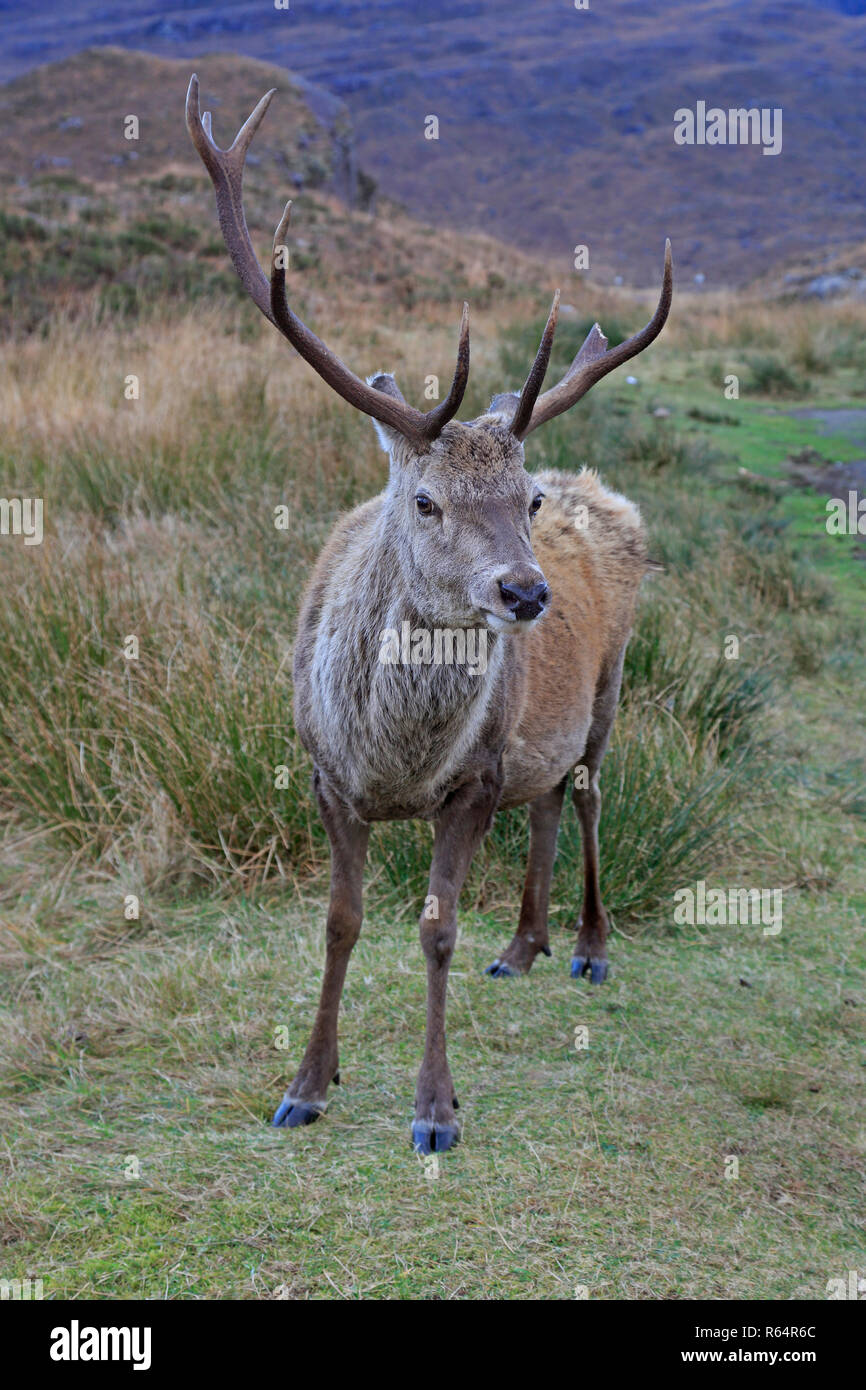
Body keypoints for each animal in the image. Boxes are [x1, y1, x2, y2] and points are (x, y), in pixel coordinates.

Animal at [186, 75, 672, 1154]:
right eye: (424, 501)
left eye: (526, 499)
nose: (525, 593)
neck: (396, 762)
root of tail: (609, 493)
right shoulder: (322, 772)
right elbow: (340, 921)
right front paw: (307, 1084)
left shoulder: (475, 778)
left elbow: (436, 927)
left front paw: (435, 1108)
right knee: (549, 797)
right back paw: (523, 945)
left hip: (612, 684)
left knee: (584, 791)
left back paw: (586, 945)